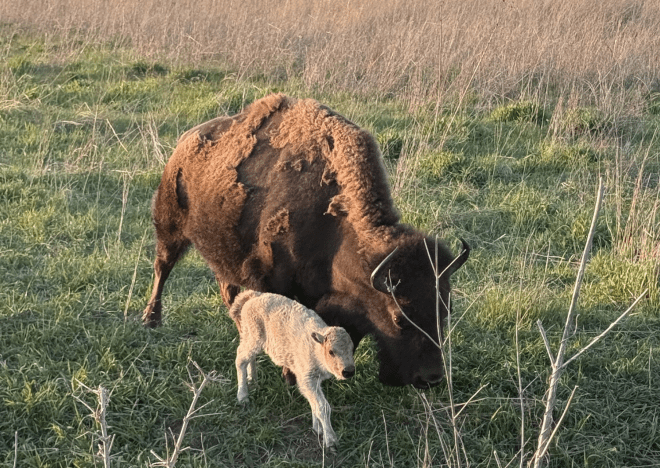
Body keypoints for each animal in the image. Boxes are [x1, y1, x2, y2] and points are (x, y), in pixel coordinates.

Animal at [142, 93, 469, 388]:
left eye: (446, 309)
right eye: (400, 318)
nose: (430, 378)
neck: (334, 228)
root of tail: (184, 144)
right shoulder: (276, 282)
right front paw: (291, 375)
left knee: (227, 290)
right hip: (169, 229)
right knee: (163, 268)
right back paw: (151, 319)